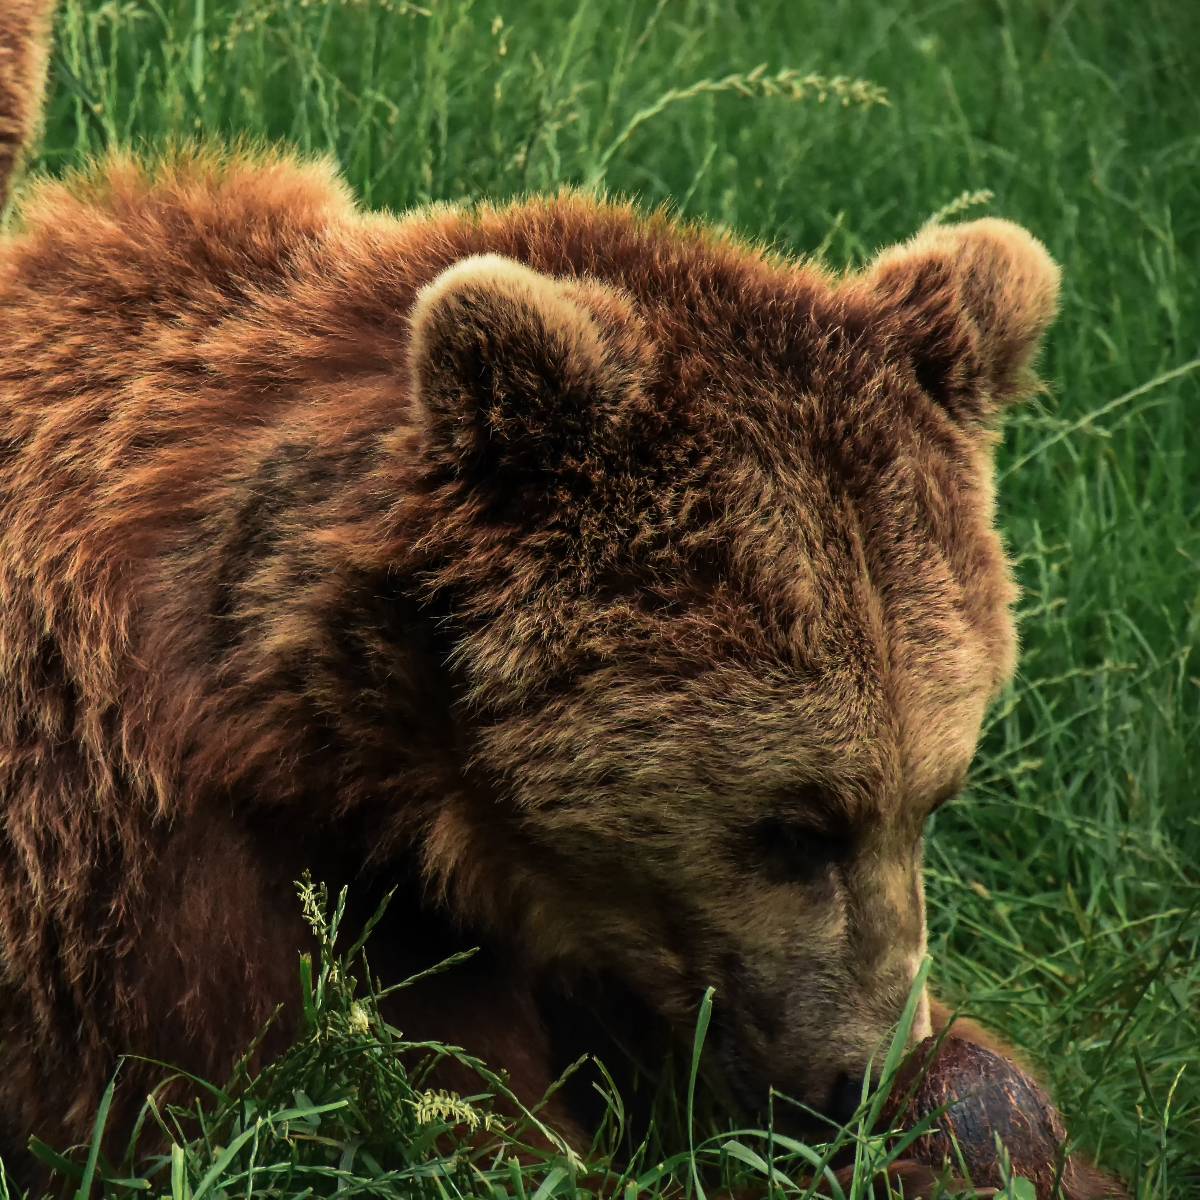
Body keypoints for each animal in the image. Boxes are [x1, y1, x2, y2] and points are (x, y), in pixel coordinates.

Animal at [0, 4, 1123, 1194]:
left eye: (935, 799)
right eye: (793, 826)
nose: (854, 1082)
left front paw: (970, 1114)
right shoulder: (162, 903)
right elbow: (393, 1118)